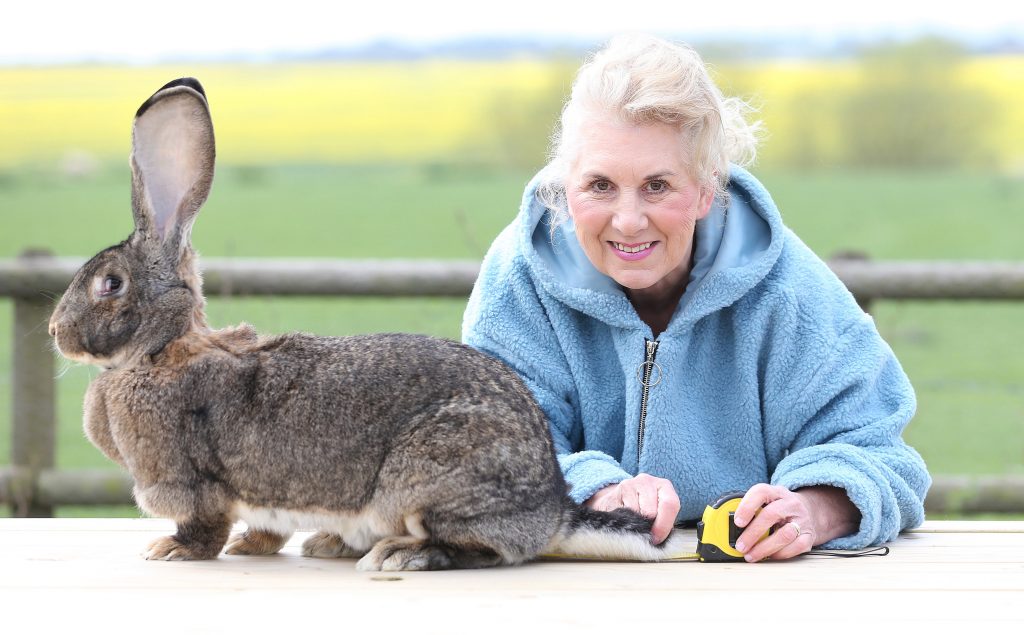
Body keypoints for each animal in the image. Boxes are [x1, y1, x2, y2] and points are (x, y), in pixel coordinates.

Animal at [48, 78, 688, 570]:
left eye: (110, 284)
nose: (56, 332)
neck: (159, 350)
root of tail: (550, 509)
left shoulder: (193, 484)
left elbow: (204, 528)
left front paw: (172, 550)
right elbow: (264, 529)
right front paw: (253, 548)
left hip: (427, 478)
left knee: (483, 549)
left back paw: (403, 554)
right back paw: (333, 544)